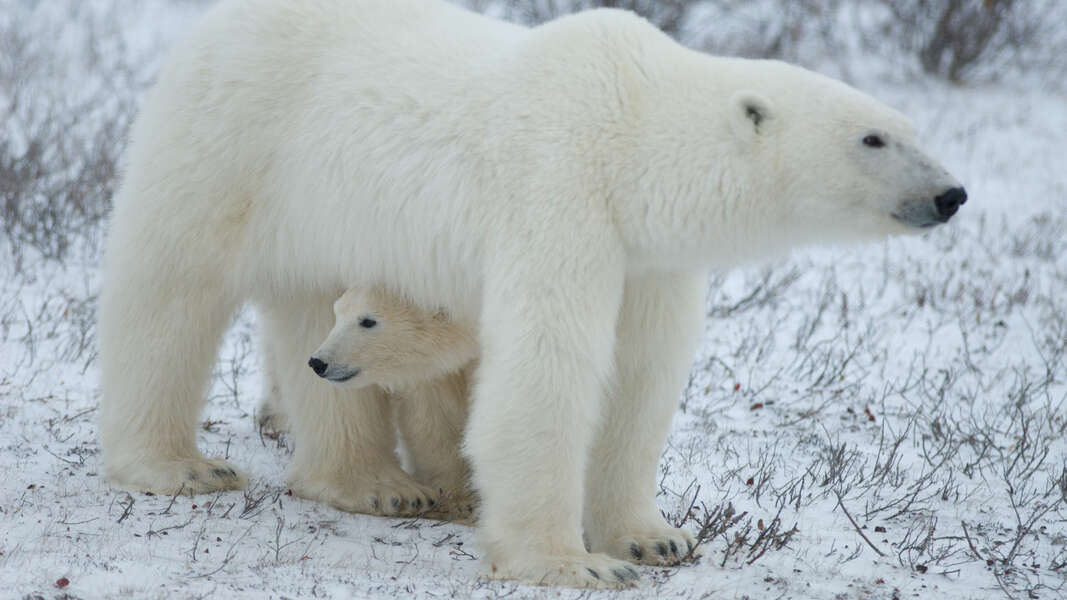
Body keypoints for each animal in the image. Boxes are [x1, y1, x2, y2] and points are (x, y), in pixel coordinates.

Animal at [96, 0, 966, 588]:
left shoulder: (646, 259)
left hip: (316, 218)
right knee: (171, 293)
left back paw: (373, 483)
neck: (629, 130)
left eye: (909, 128)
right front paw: (570, 562)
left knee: (309, 315)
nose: (950, 193)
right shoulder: (559, 194)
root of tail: (211, 26)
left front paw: (653, 538)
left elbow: (639, 379)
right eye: (872, 138)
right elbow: (548, 370)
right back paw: (179, 466)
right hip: (231, 144)